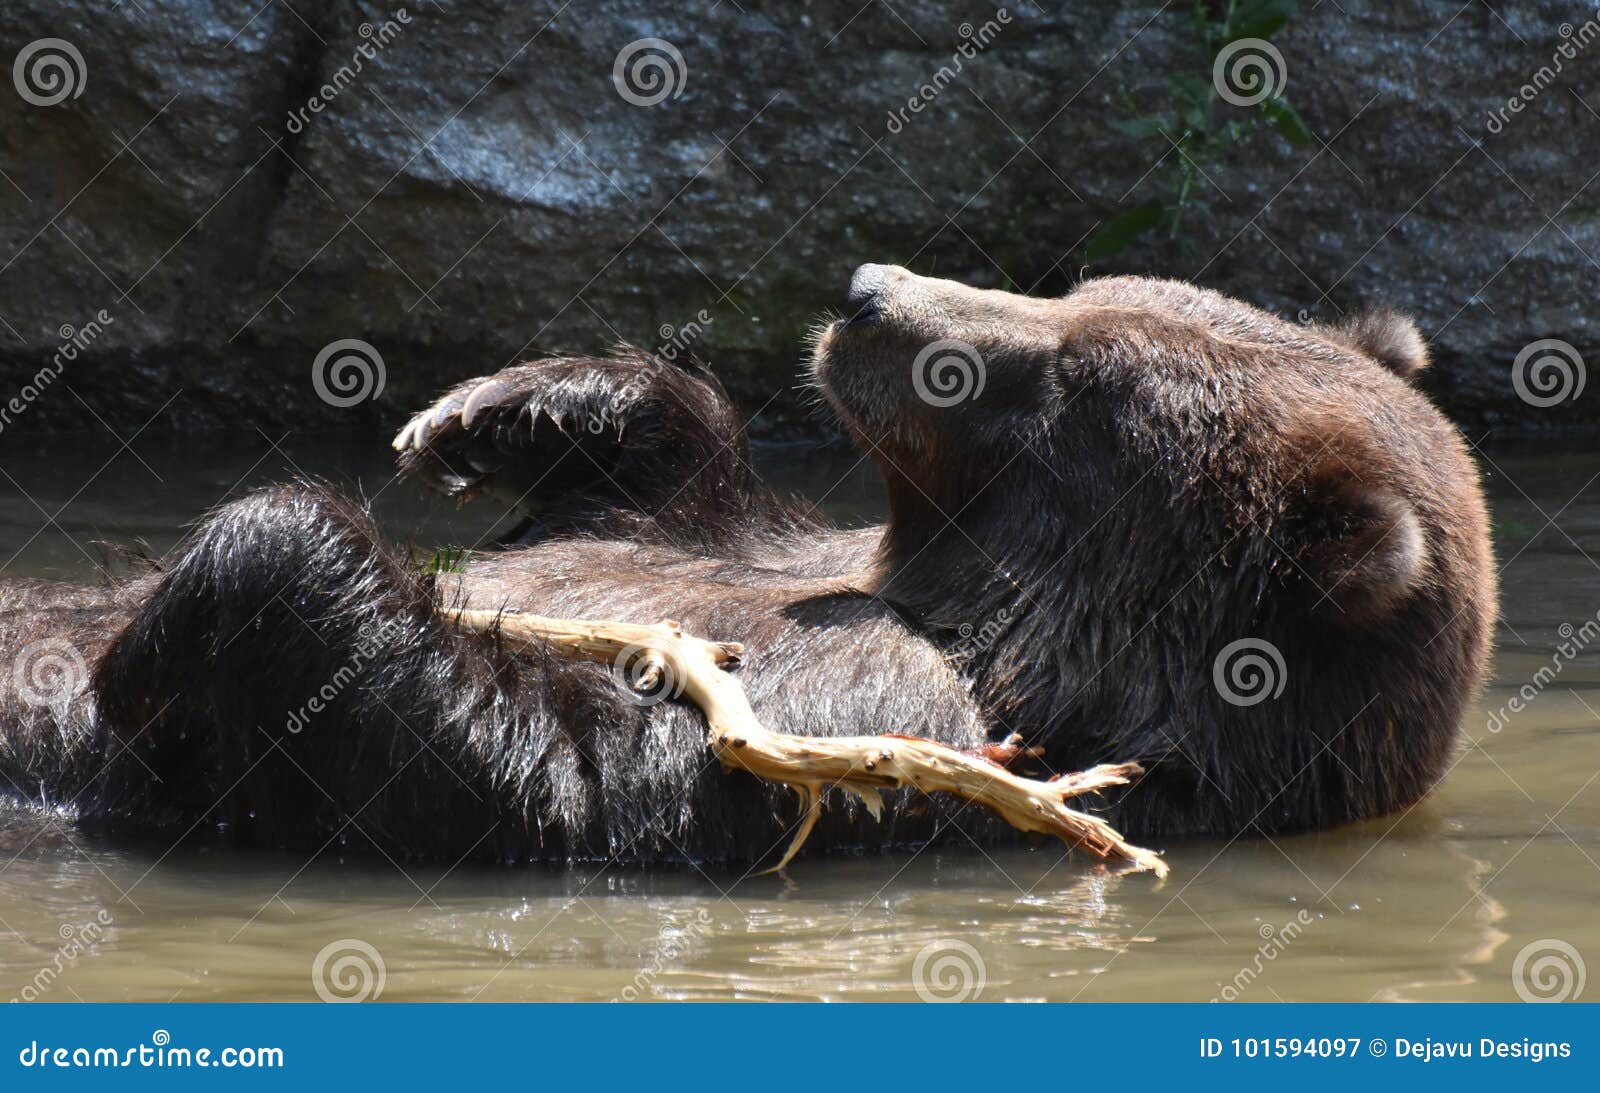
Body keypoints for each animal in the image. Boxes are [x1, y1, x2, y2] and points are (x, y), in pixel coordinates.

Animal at [0, 266, 1497, 866]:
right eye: (1079, 291)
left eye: (1079, 375)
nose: (869, 293)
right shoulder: (740, 544)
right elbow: (659, 498)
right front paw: (493, 411)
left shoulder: (915, 712)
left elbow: (559, 763)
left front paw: (184, 616)